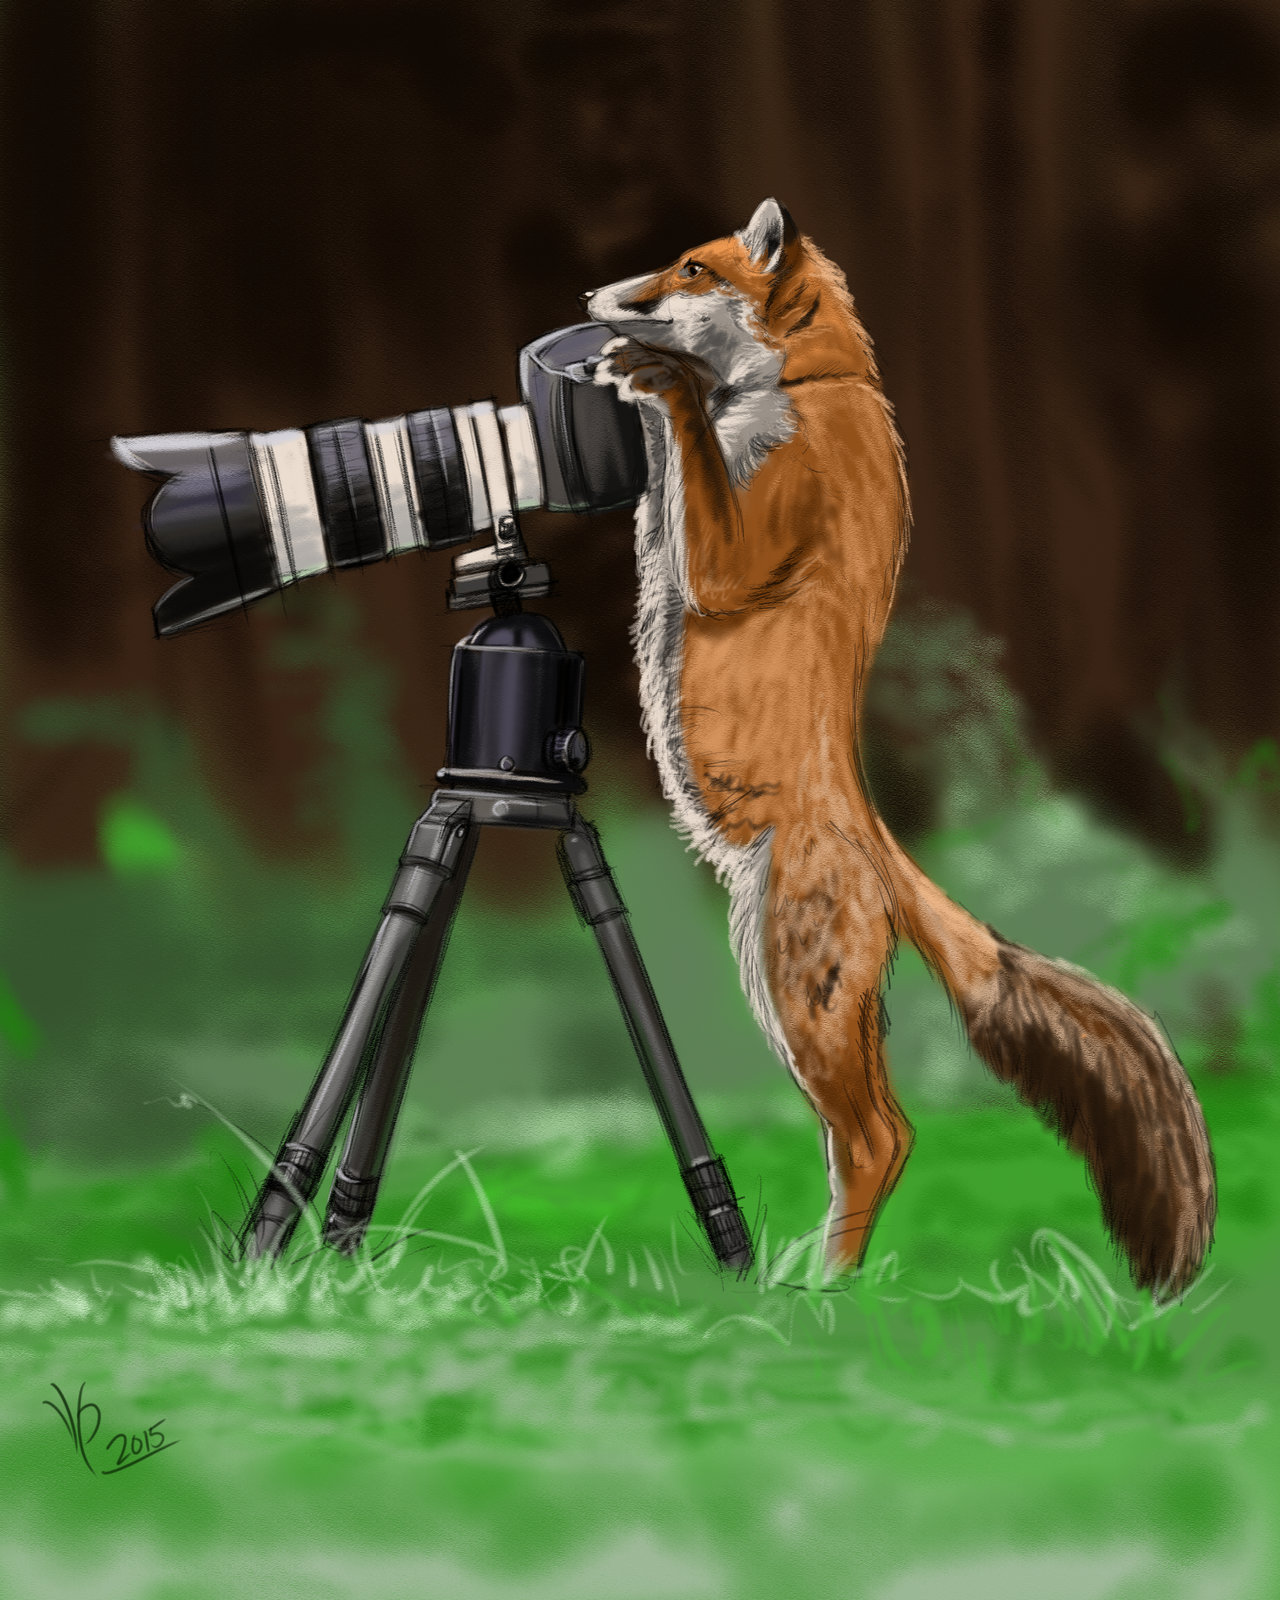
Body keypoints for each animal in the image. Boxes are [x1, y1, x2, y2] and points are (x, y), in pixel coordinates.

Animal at [584, 198, 1216, 1299]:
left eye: (689, 270)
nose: (598, 299)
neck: (804, 389)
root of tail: (874, 838)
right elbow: (660, 494)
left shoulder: (739, 551)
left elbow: (691, 463)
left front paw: (656, 379)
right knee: (873, 1137)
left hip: (795, 989)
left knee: (882, 1135)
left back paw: (821, 1287)